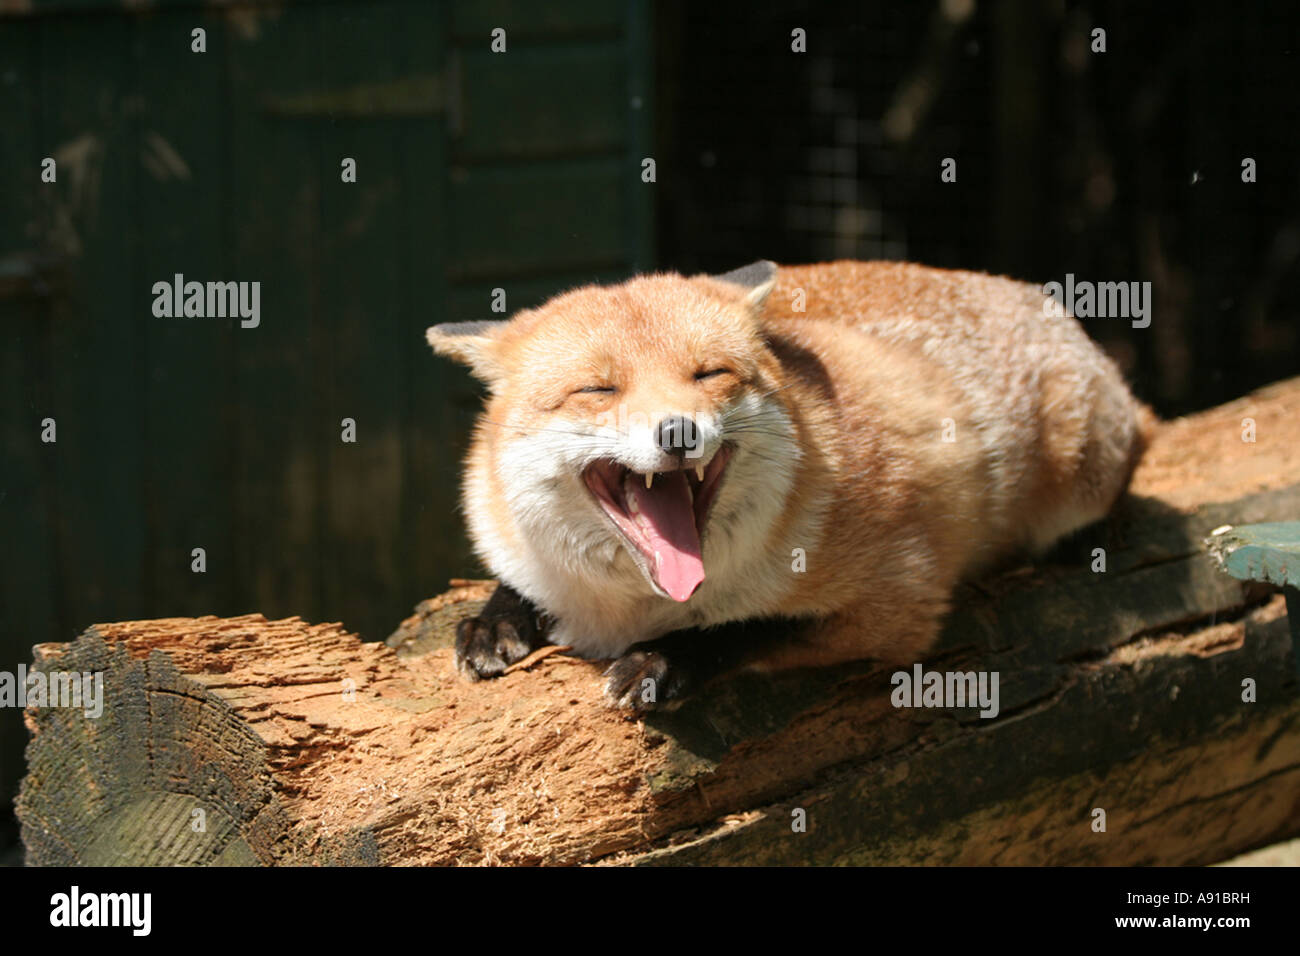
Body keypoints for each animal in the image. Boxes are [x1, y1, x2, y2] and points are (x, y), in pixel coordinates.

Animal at [426, 260, 1155, 710]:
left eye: (709, 374)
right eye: (598, 389)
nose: (677, 432)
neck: (627, 610)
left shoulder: (901, 604)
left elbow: (747, 629)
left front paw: (662, 661)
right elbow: (517, 585)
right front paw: (495, 621)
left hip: (1080, 463)